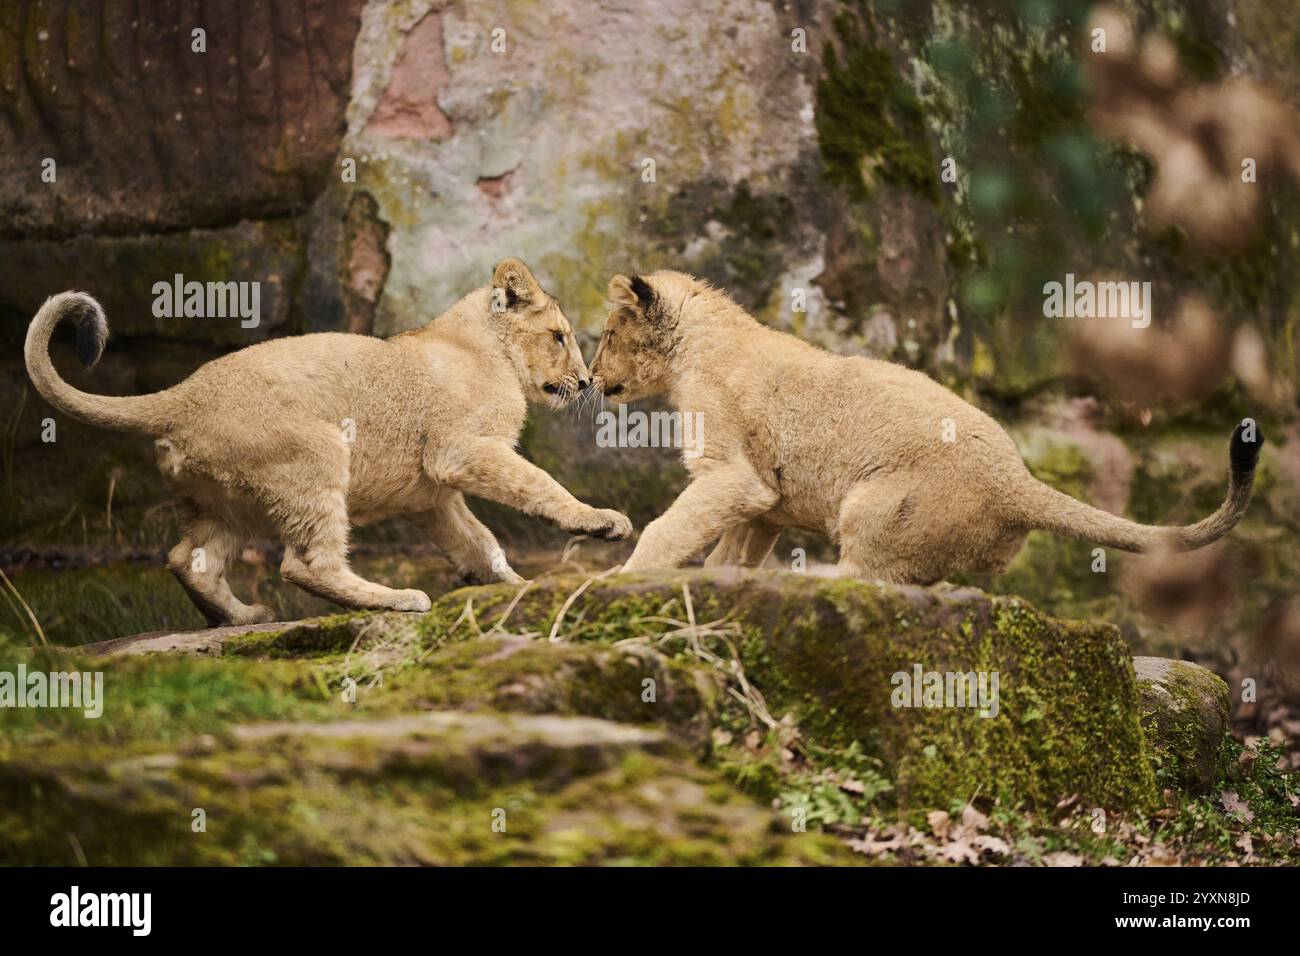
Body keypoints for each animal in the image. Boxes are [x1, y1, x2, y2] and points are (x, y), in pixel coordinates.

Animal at [25, 259, 632, 624]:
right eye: (559, 337)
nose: (586, 382)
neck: (485, 349)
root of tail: (182, 395)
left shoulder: (431, 498)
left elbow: (478, 541)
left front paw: (510, 584)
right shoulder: (459, 452)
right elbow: (539, 484)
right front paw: (600, 521)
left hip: (224, 501)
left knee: (188, 560)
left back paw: (245, 617)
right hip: (316, 453)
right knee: (304, 565)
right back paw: (398, 600)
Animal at [589, 270, 1262, 584]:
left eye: (605, 336)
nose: (591, 375)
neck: (696, 350)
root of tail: (1019, 481)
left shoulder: (732, 476)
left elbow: (670, 529)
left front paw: (623, 574)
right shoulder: (765, 503)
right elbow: (728, 556)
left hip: (874, 511)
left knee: (868, 579)